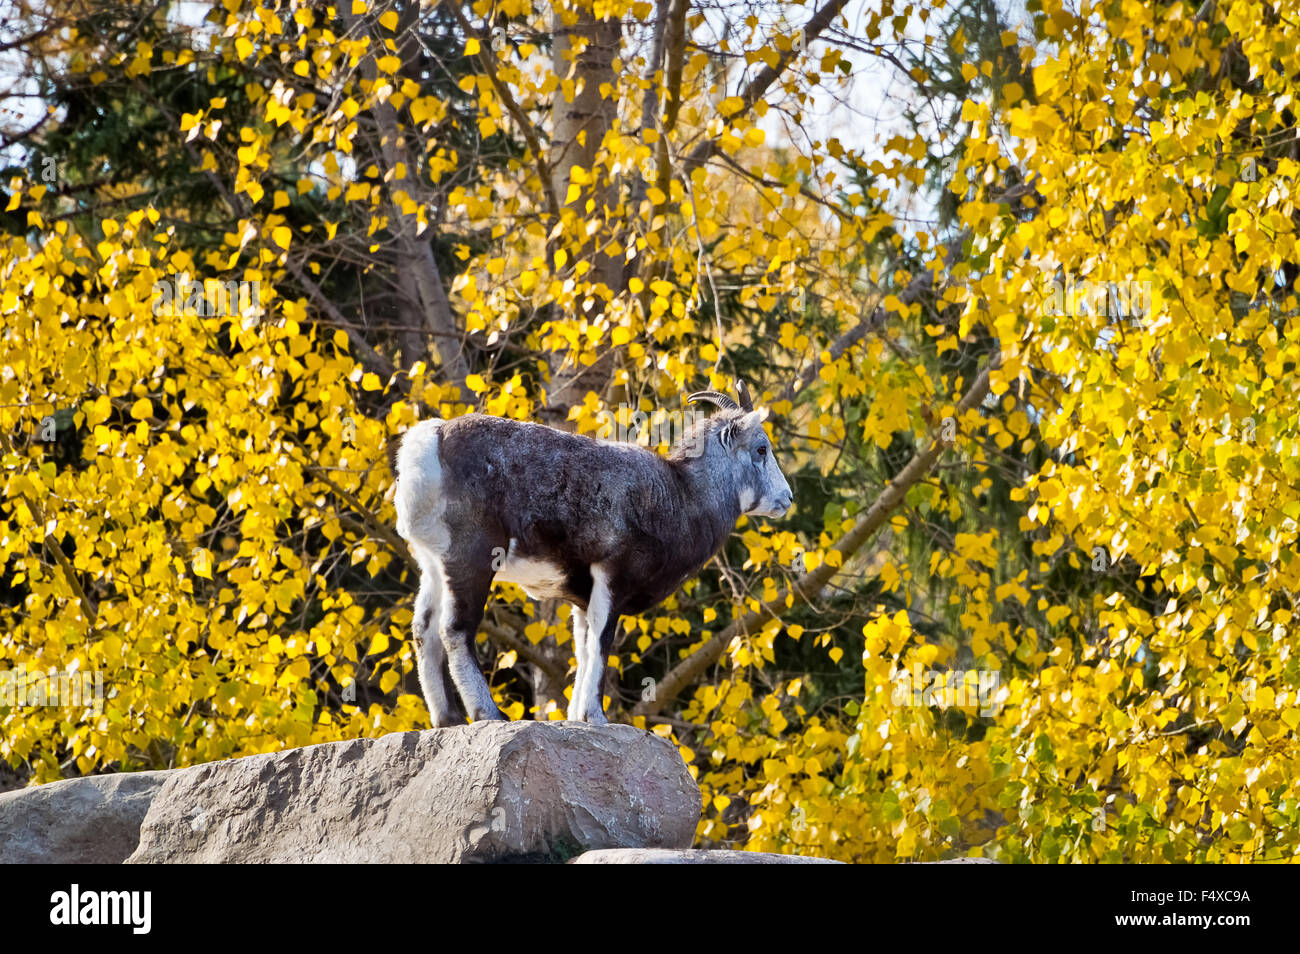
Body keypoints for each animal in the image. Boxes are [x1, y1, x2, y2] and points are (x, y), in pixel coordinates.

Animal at [392, 383, 794, 726]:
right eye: (761, 449)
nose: (787, 498)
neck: (680, 496)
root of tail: (428, 443)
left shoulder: (582, 598)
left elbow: (584, 649)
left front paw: (576, 718)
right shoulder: (611, 579)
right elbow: (602, 643)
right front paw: (595, 716)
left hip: (434, 567)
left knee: (423, 630)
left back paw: (447, 719)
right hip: (470, 562)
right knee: (455, 629)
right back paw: (488, 714)